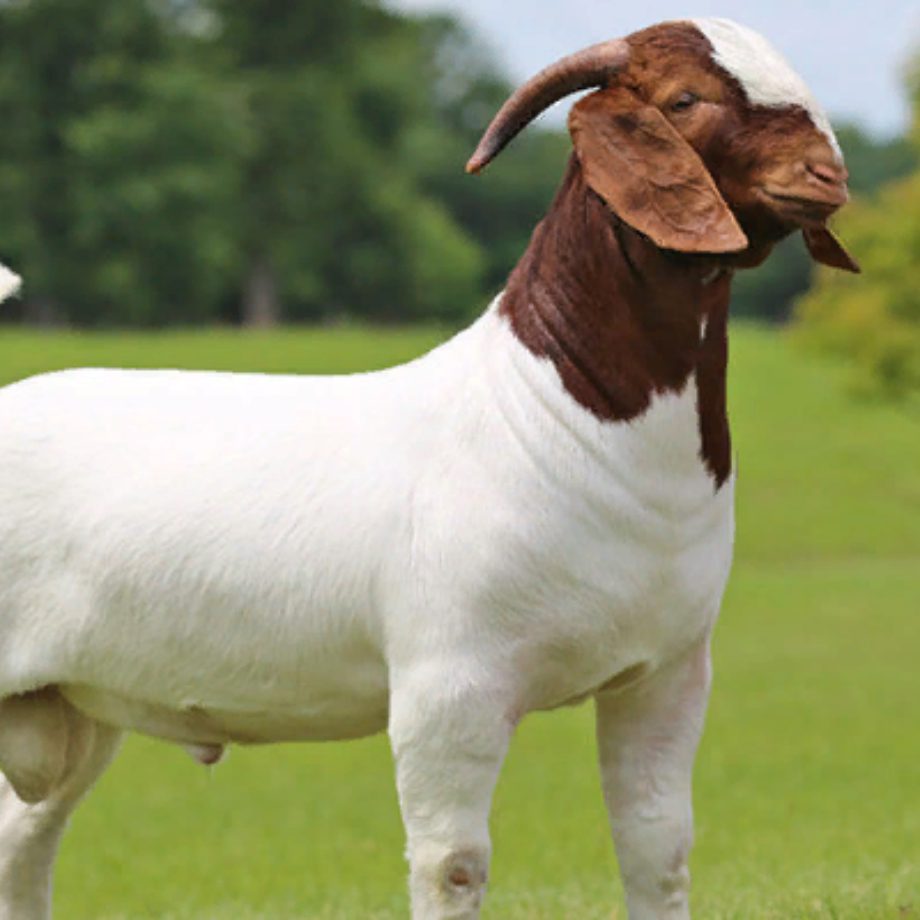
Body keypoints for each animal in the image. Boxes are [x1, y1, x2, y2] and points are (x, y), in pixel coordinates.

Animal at [0, 18, 857, 920]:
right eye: (686, 99)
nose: (827, 176)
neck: (550, 413)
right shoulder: (448, 686)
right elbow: (453, 864)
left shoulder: (665, 675)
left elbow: (658, 849)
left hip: (74, 708)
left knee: (24, 837)